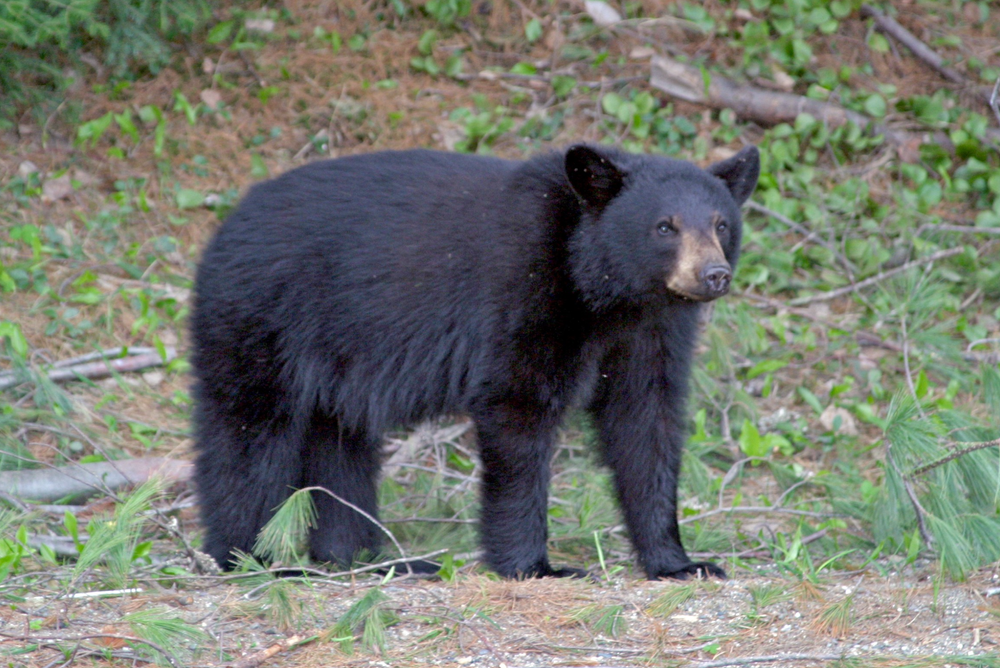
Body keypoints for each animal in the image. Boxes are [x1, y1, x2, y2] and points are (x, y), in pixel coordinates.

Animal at [190, 143, 759, 580]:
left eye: (720, 224)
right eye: (665, 227)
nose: (713, 275)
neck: (606, 292)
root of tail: (226, 225)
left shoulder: (650, 333)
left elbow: (646, 423)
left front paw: (680, 562)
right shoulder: (523, 293)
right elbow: (517, 408)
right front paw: (535, 566)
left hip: (338, 359)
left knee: (340, 442)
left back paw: (368, 558)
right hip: (264, 319)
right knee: (249, 434)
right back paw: (256, 559)